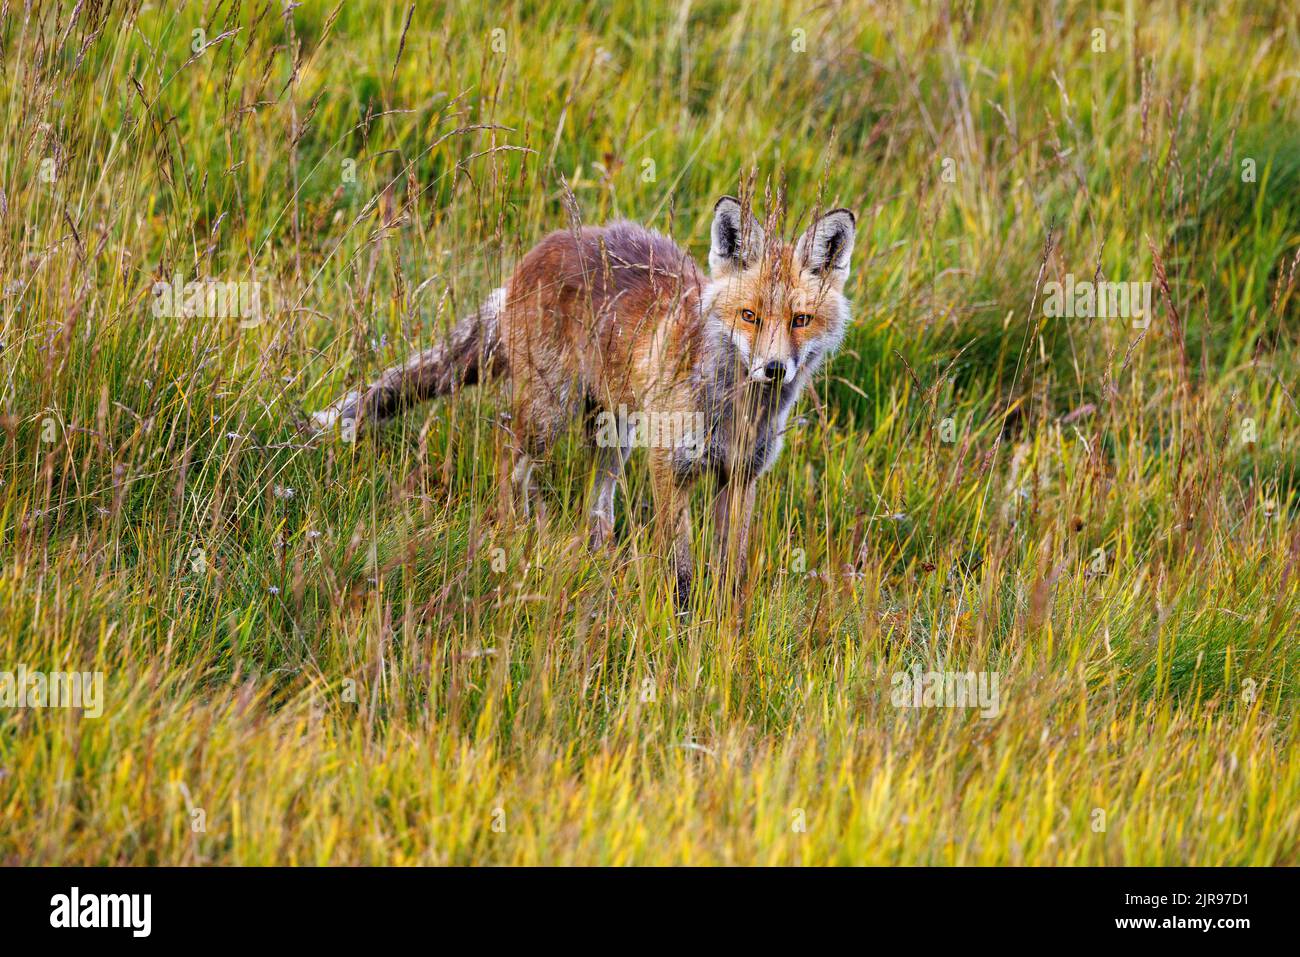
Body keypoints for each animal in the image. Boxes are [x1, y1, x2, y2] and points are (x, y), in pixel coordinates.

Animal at [309, 196, 856, 607]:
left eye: (800, 320)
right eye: (749, 315)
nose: (774, 369)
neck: (736, 412)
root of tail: (544, 248)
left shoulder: (741, 476)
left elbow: (730, 568)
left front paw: (724, 624)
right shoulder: (669, 466)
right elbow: (679, 566)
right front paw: (684, 627)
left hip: (615, 433)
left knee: (597, 506)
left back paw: (596, 555)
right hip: (549, 415)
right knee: (507, 456)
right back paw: (512, 536)